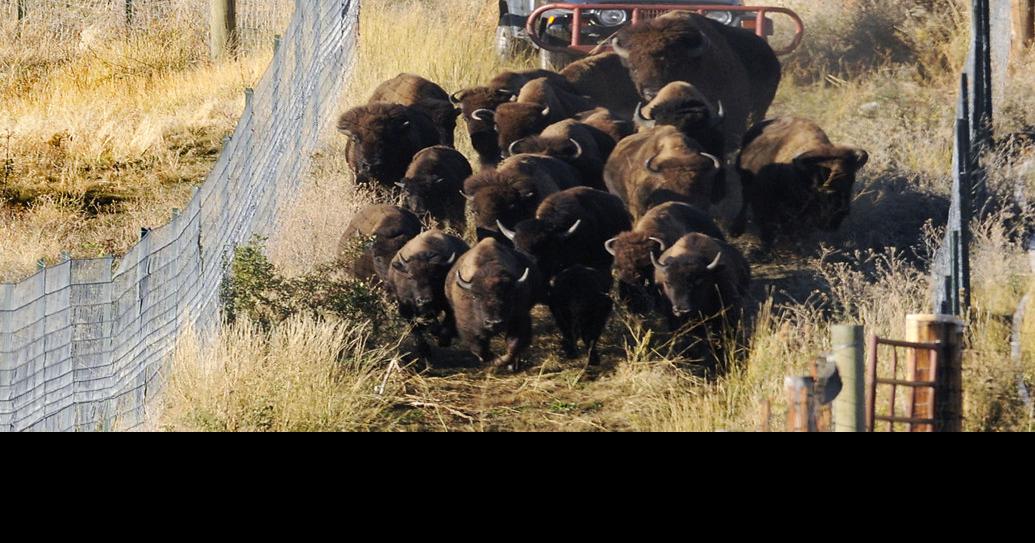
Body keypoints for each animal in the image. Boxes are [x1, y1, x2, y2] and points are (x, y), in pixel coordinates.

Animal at [446, 238, 540, 371]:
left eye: (509, 296)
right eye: (475, 297)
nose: (494, 323)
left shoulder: (520, 319)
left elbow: (513, 347)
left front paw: (505, 363)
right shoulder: (468, 327)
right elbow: (480, 350)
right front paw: (492, 360)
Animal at [733, 117, 870, 247]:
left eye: (851, 180)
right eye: (825, 180)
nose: (842, 213)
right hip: (746, 183)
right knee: (745, 201)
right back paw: (736, 230)